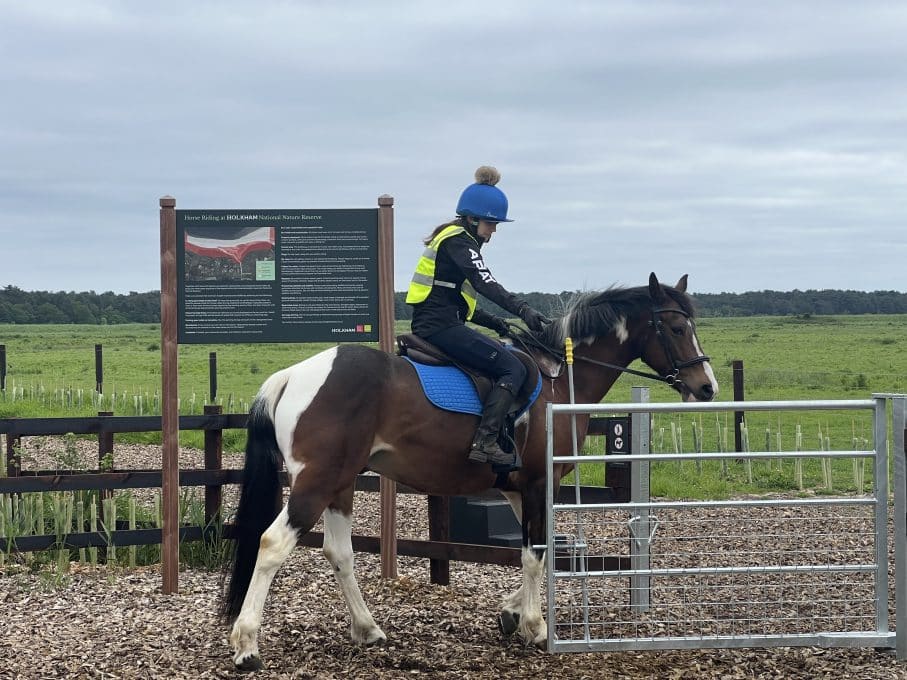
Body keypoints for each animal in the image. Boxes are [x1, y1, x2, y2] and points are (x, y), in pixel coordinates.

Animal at [221, 272, 718, 671]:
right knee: (272, 544)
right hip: (318, 481)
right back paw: (247, 646)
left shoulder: (520, 490)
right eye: (677, 328)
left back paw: (367, 629)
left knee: (339, 552)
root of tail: (293, 375)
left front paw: (512, 612)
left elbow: (537, 550)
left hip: (341, 483)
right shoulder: (540, 483)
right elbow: (535, 552)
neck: (558, 381)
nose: (707, 387)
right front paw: (535, 625)